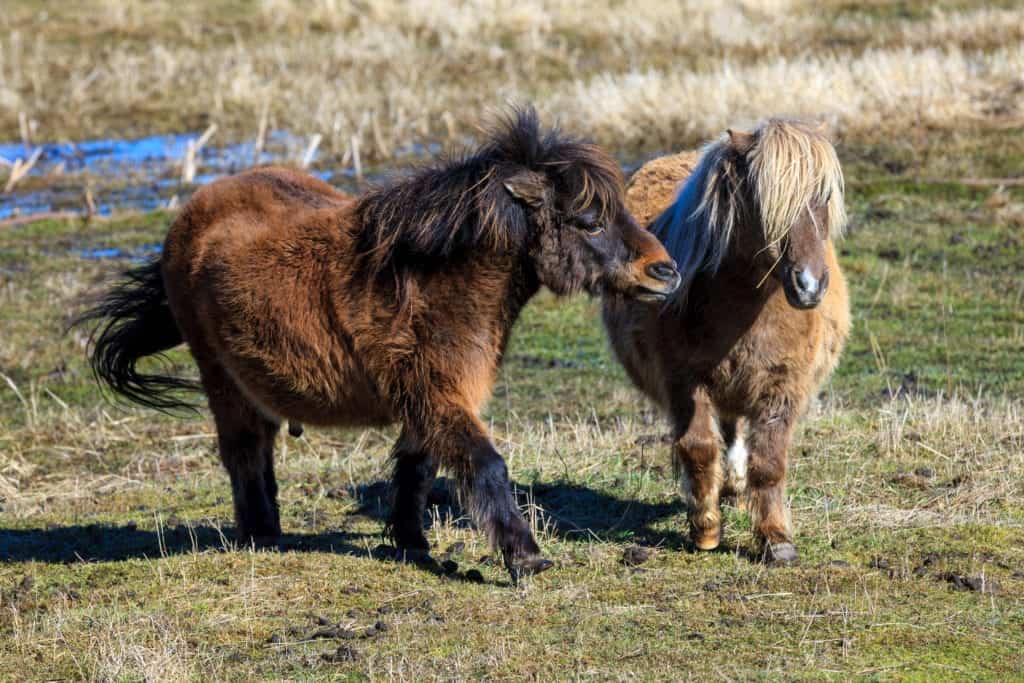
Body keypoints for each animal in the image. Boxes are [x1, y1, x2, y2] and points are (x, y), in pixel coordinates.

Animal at [74, 107, 681, 580]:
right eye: (589, 220)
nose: (666, 271)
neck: (434, 281)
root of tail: (191, 215)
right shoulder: (439, 395)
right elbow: (485, 464)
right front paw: (526, 558)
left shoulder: (427, 401)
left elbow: (418, 468)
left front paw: (411, 541)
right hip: (221, 380)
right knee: (243, 452)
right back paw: (260, 535)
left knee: (259, 449)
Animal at [602, 118, 849, 563]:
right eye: (764, 203)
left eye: (823, 196)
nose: (809, 285)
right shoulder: (684, 381)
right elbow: (699, 447)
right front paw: (705, 529)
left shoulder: (782, 385)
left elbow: (768, 462)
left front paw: (775, 540)